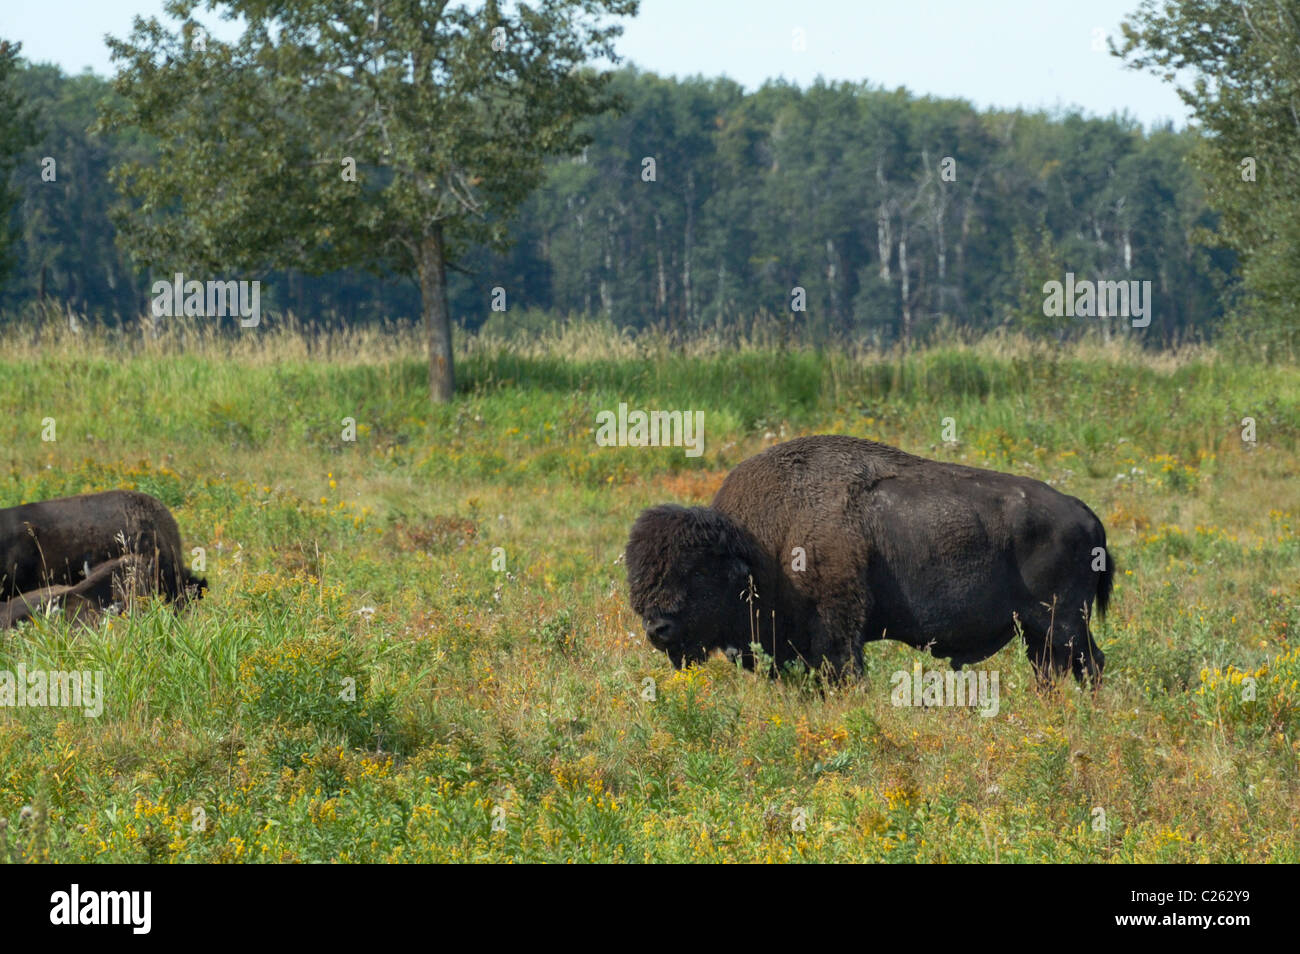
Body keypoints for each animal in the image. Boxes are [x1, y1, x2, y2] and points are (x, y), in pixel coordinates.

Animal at [625, 435, 1113, 685]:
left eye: (696, 570)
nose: (657, 628)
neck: (758, 546)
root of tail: (1084, 513)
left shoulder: (837, 628)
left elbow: (843, 670)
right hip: (1037, 631)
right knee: (1054, 670)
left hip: (1062, 623)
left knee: (1088, 664)